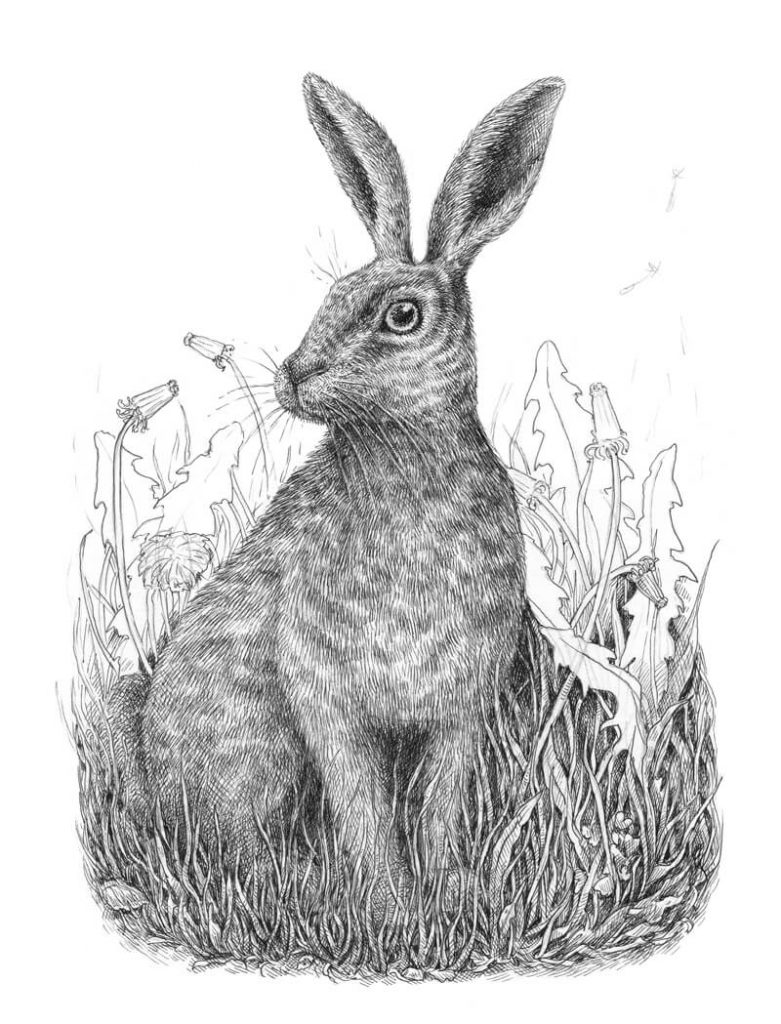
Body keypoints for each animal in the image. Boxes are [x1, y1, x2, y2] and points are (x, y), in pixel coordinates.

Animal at [140, 72, 564, 888]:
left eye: (402, 316)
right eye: (331, 292)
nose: (292, 375)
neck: (401, 458)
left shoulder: (462, 704)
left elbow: (440, 802)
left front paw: (445, 886)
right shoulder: (324, 699)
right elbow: (363, 809)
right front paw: (388, 899)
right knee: (235, 840)